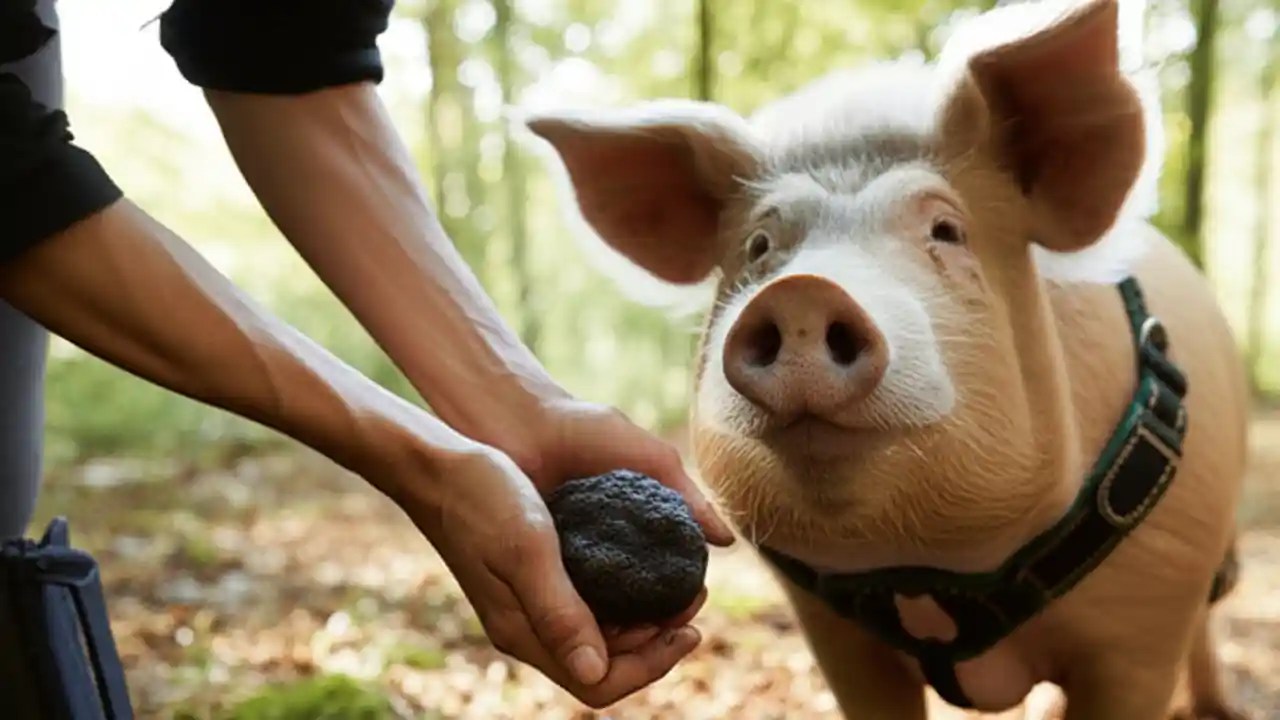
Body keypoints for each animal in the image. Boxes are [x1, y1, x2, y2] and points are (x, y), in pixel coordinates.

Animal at [523, 0, 1249, 718]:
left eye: (947, 230)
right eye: (759, 245)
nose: (801, 292)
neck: (929, 568)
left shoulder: (1147, 615)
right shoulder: (835, 634)